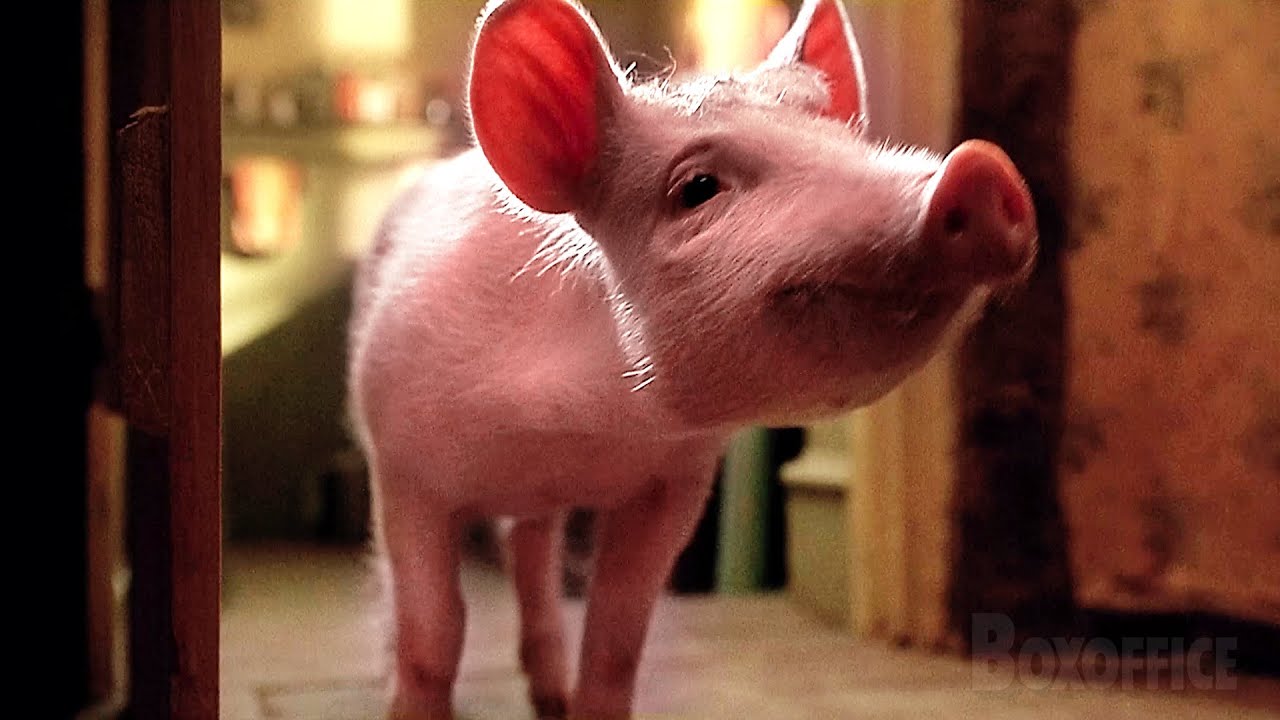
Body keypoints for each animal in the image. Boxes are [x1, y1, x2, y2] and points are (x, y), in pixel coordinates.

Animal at [346, 0, 1037, 718]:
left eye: (842, 138)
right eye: (697, 187)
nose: (981, 167)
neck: (571, 427)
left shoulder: (674, 484)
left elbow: (616, 640)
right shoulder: (404, 464)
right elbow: (434, 633)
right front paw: (410, 701)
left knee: (529, 554)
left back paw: (551, 697)